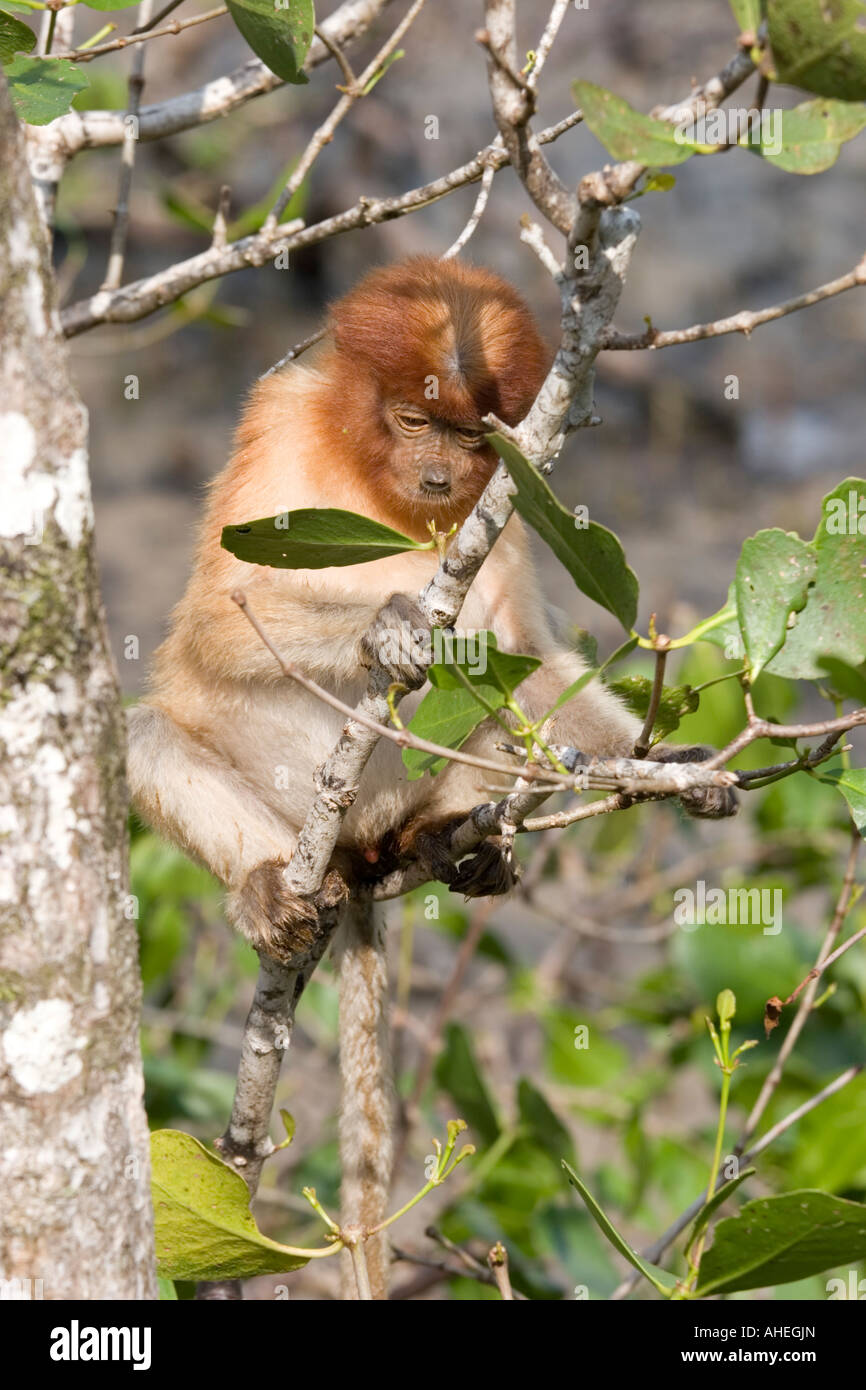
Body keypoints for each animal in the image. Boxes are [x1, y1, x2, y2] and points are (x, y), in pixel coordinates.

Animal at [126, 255, 735, 1296]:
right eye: (414, 422)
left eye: (467, 434)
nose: (444, 478)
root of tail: (353, 852)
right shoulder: (279, 418)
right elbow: (219, 612)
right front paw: (393, 626)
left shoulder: (514, 491)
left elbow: (523, 657)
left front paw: (675, 769)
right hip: (286, 817)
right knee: (144, 730)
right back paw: (269, 888)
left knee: (490, 695)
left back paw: (454, 842)